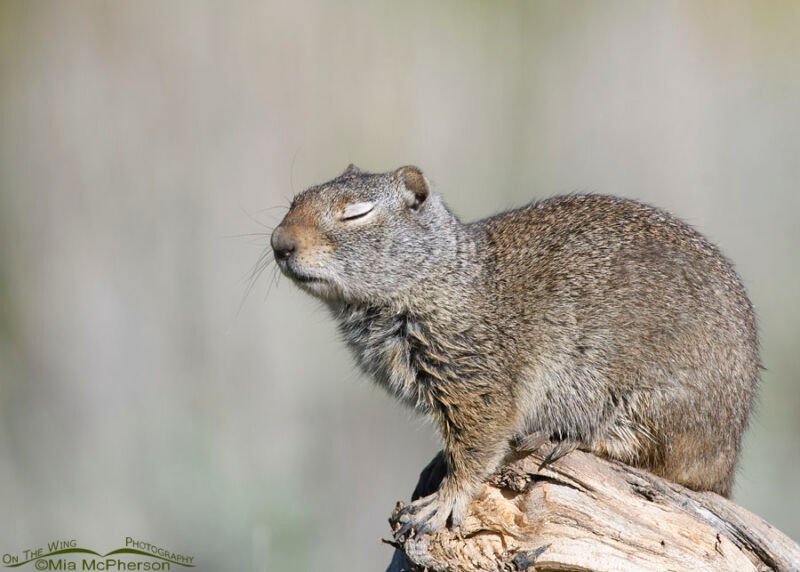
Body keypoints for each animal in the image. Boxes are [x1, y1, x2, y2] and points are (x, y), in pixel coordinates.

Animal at [270, 164, 760, 536]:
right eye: (295, 200)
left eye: (356, 214)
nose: (279, 243)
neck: (441, 277)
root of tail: (728, 456)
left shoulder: (477, 380)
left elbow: (479, 444)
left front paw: (443, 502)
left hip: (659, 403)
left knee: (658, 459)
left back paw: (567, 437)